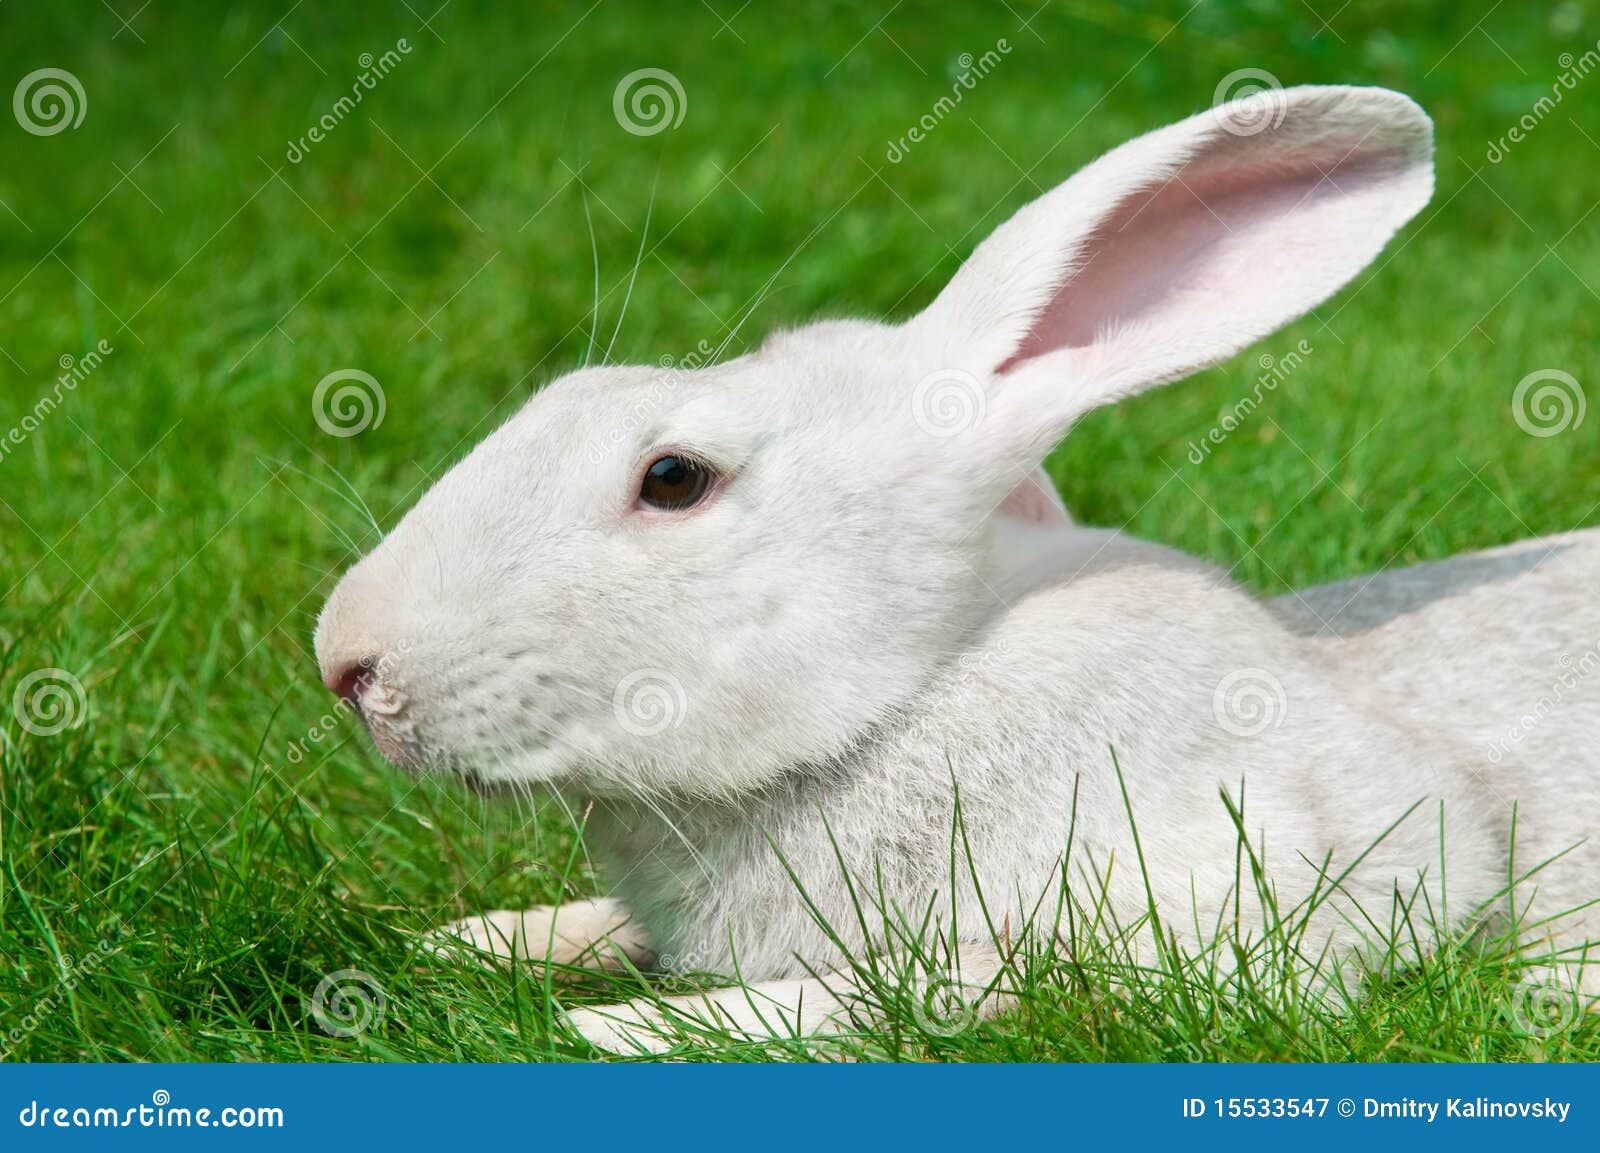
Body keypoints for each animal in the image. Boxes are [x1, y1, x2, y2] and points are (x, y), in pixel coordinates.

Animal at [314, 85, 1600, 1053]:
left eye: (672, 479)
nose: (344, 662)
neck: (912, 692)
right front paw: (475, 942)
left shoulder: (1269, 896)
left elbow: (952, 987)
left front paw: (609, 1030)